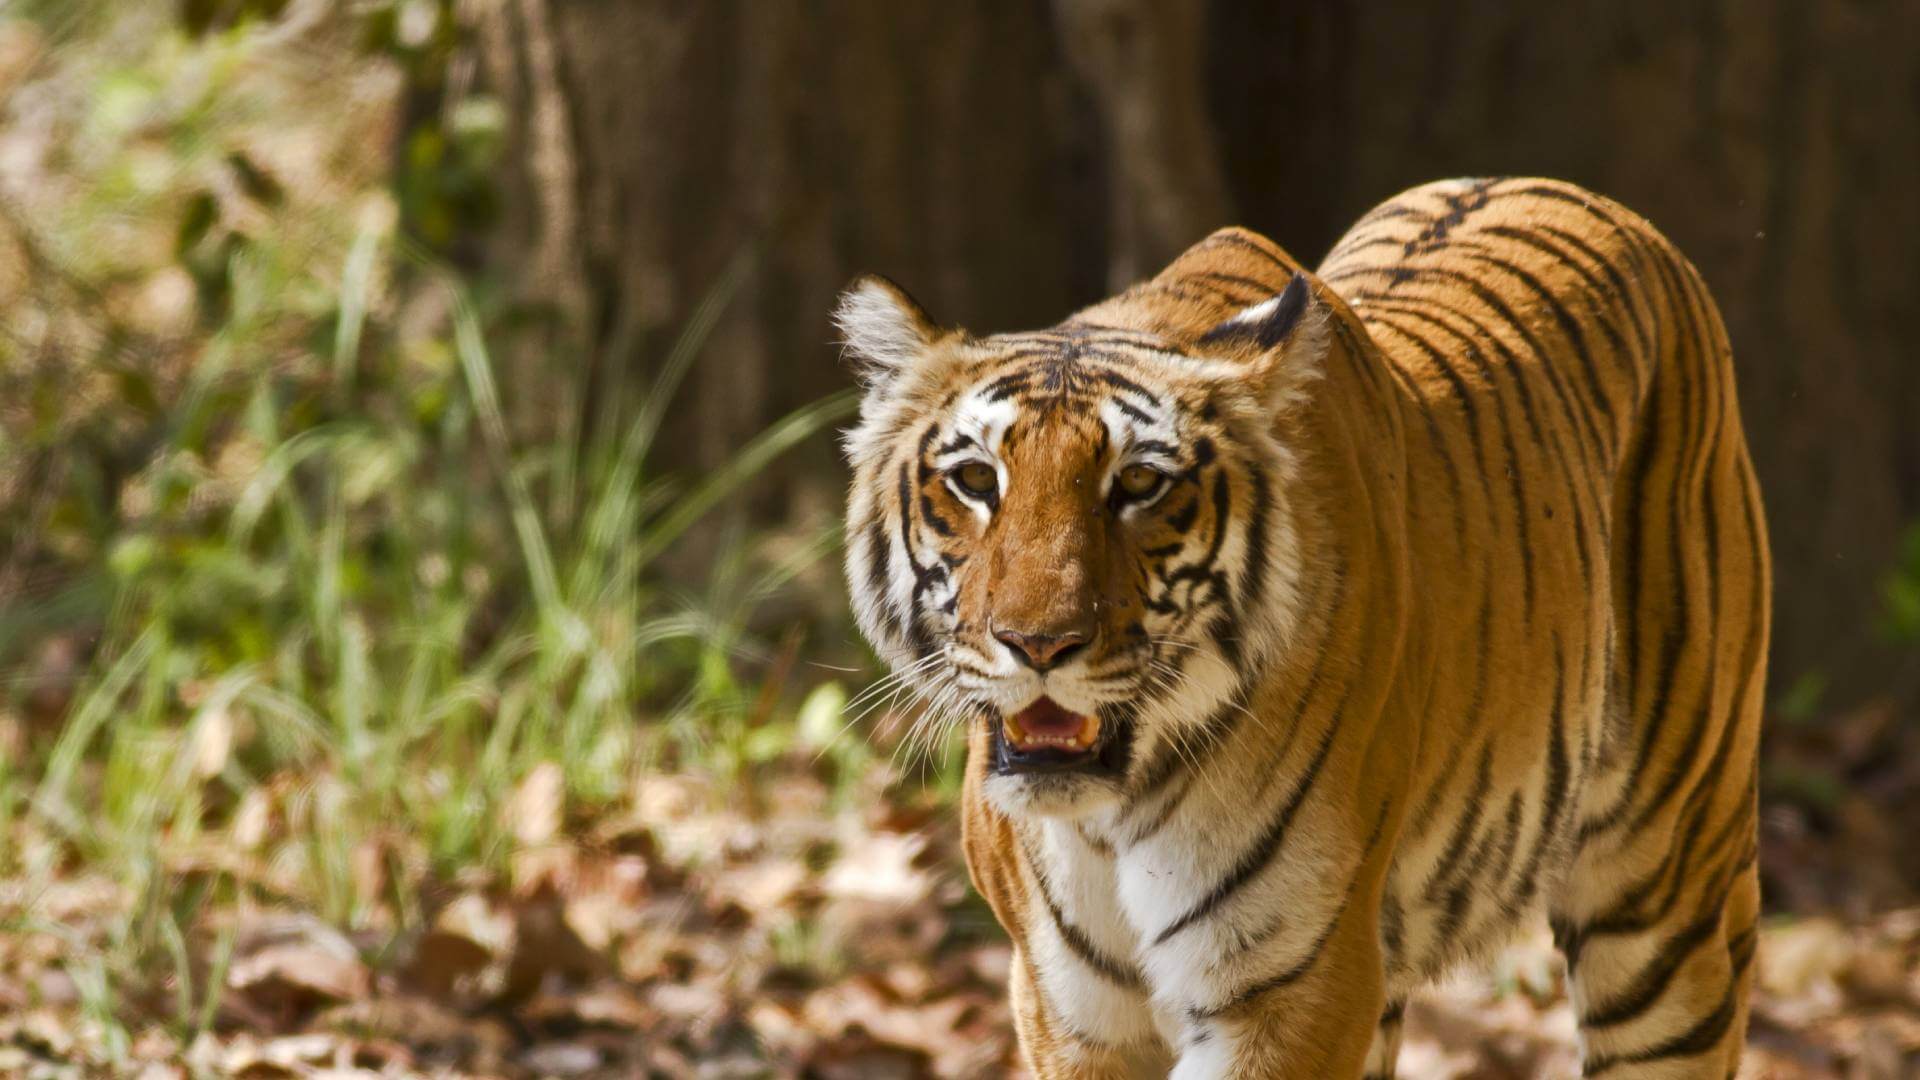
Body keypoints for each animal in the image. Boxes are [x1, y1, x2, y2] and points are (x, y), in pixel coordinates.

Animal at [836, 177, 1769, 1079]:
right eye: (974, 480)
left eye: (1138, 484)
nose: (1038, 645)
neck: (1109, 814)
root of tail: (1612, 210)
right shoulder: (1068, 1005)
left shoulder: (1295, 987)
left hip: (1667, 897)